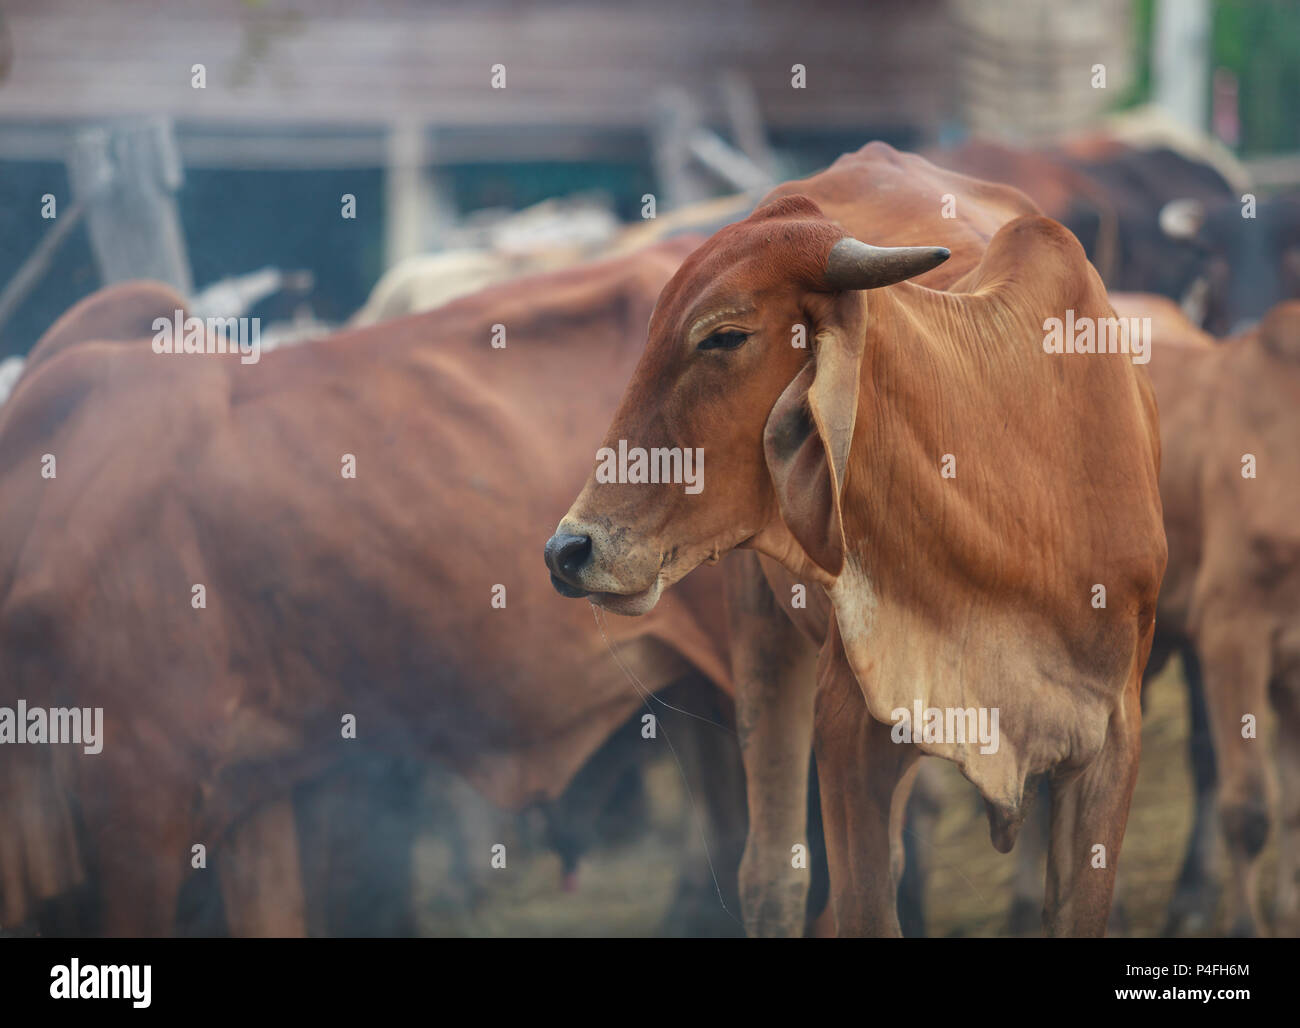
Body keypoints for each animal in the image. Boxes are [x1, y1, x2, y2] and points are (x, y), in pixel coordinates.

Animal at [546, 141, 1167, 937]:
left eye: (725, 336)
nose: (568, 551)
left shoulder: (1110, 740)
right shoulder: (851, 726)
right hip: (764, 626)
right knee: (771, 878)